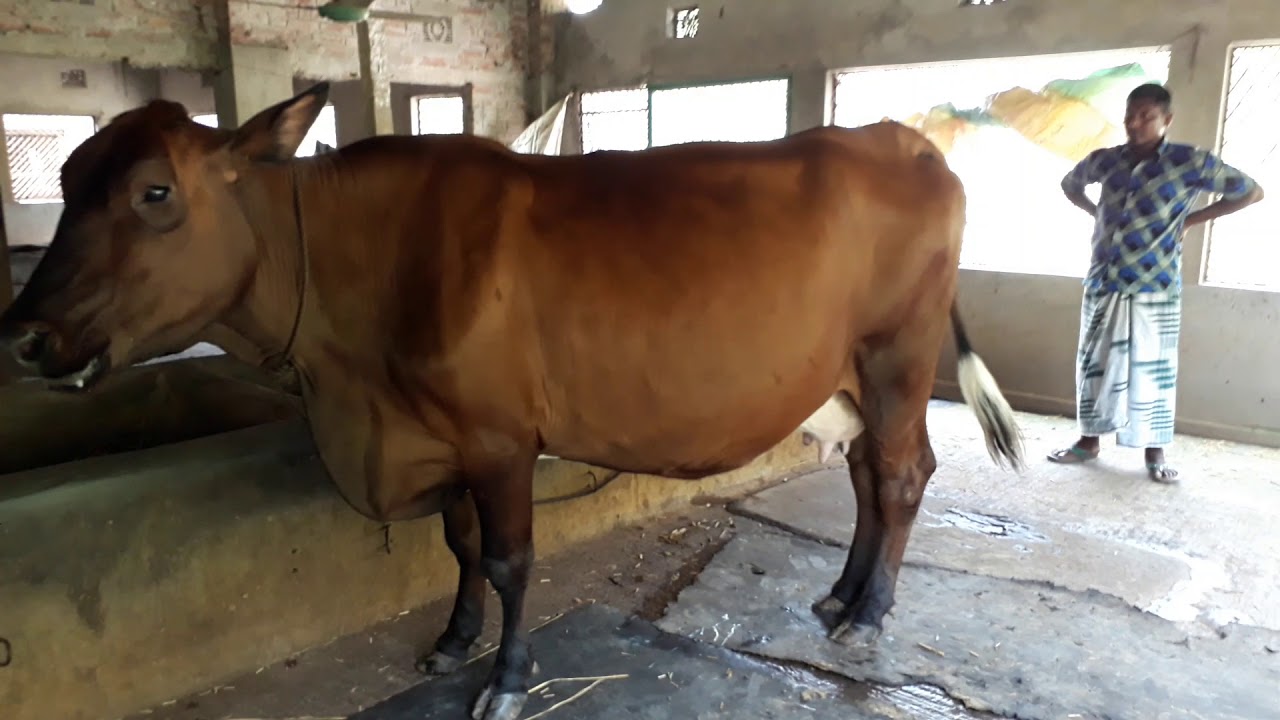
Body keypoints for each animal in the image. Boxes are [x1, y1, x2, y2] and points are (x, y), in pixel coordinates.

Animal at [0, 83, 1025, 720]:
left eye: (154, 192)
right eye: (66, 182)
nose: (22, 334)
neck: (352, 394)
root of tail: (902, 137)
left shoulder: (498, 436)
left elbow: (507, 561)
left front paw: (507, 676)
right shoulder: (441, 433)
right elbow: (456, 547)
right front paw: (452, 643)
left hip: (898, 358)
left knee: (902, 473)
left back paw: (869, 612)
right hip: (851, 377)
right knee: (866, 474)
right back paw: (841, 594)